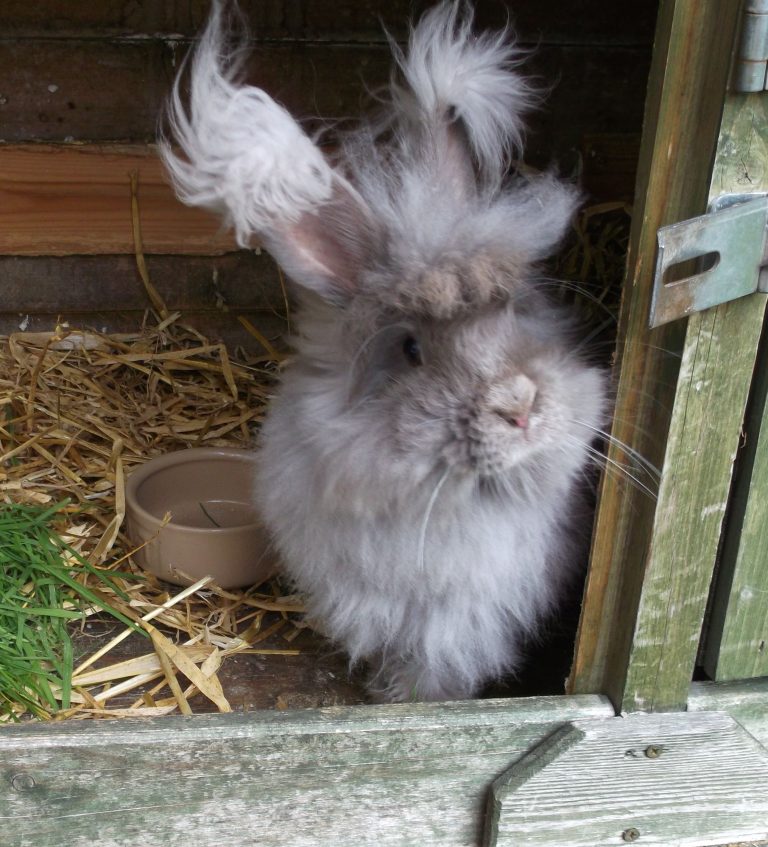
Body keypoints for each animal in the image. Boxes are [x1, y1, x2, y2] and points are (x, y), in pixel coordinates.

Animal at [161, 0, 609, 702]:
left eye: (512, 311)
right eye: (411, 349)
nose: (520, 406)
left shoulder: (460, 625)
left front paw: (419, 703)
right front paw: (393, 698)